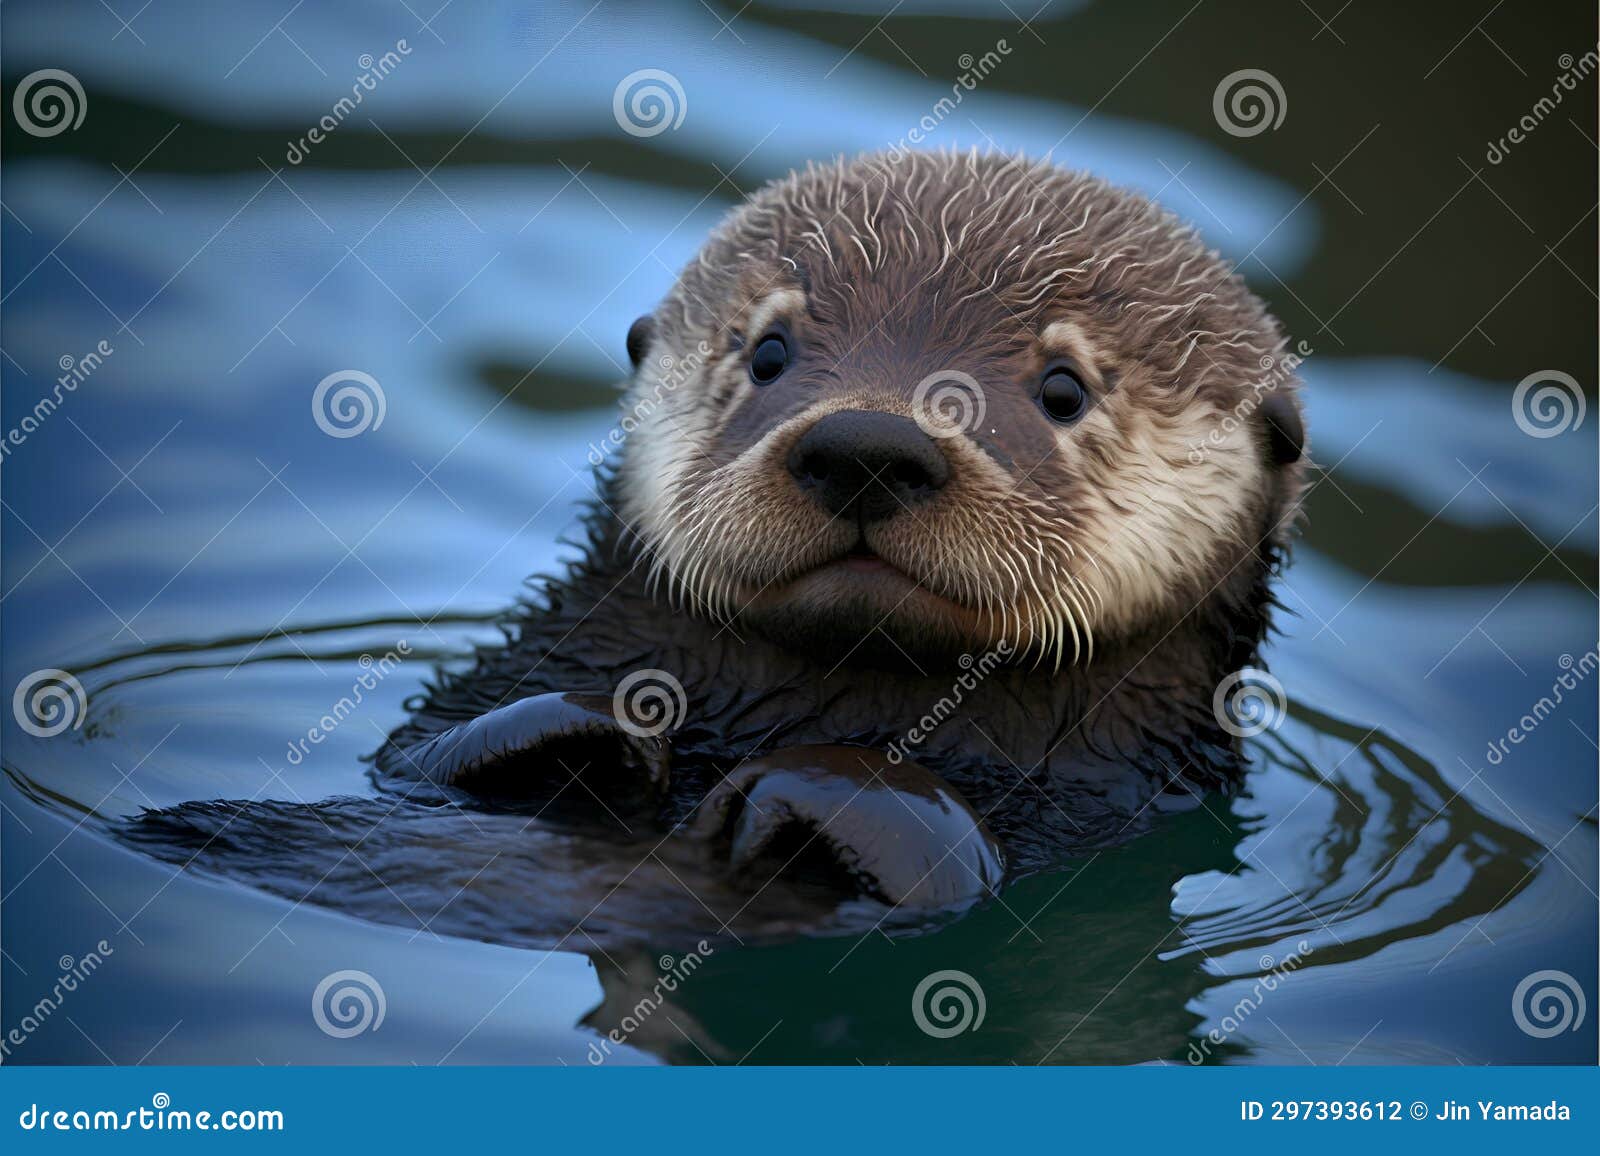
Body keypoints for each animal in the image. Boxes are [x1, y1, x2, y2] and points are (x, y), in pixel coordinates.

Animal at [126, 150, 1306, 947]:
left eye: (1063, 388)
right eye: (768, 351)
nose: (868, 445)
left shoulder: (1095, 804)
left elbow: (947, 860)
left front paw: (825, 795)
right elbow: (432, 753)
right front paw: (602, 727)